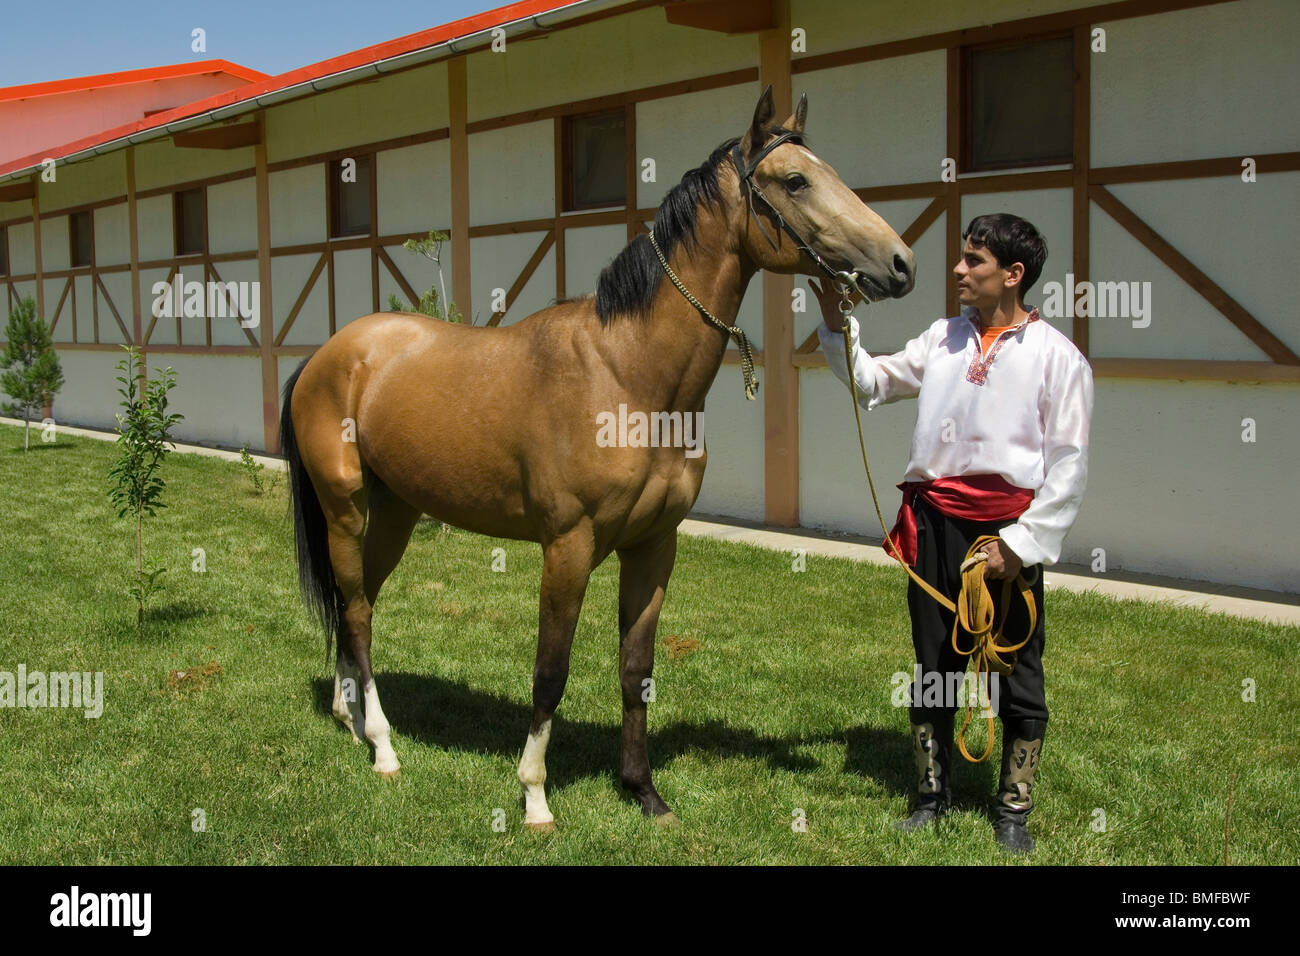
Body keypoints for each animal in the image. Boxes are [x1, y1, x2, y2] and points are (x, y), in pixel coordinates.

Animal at [280, 86, 915, 830]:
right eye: (795, 181)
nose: (900, 263)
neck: (627, 373)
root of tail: (327, 356)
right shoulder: (569, 546)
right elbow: (550, 671)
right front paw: (534, 797)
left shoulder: (654, 545)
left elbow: (636, 669)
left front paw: (643, 791)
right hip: (345, 509)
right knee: (353, 611)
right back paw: (382, 747)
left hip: (397, 514)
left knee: (359, 606)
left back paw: (350, 719)